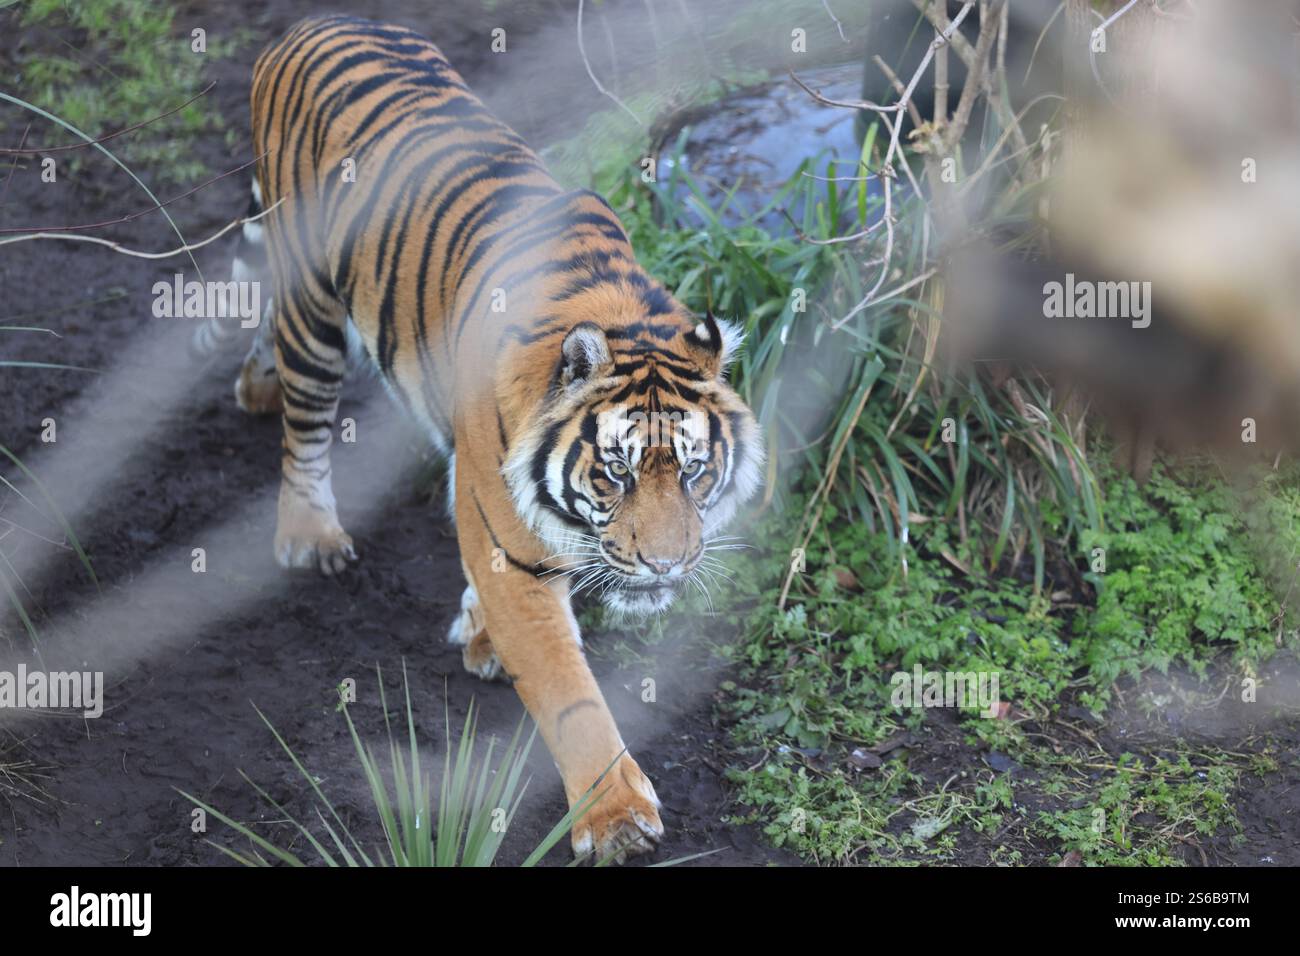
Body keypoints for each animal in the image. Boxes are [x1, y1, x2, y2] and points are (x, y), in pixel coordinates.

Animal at [195, 15, 763, 862]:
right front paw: (615, 819)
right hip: (314, 306)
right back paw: (308, 531)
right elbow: (568, 692)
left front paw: (479, 633)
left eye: (695, 473)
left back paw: (256, 386)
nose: (667, 565)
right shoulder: (511, 551)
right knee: (305, 422)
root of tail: (308, 25)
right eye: (617, 473)